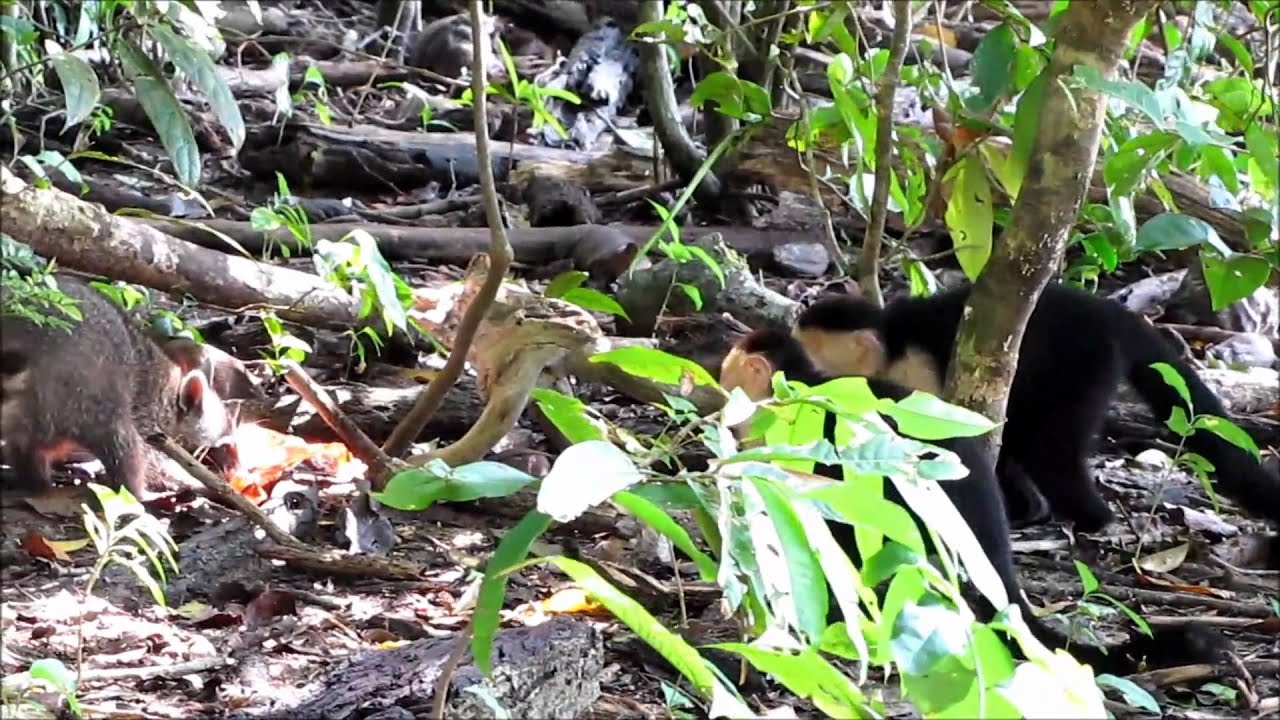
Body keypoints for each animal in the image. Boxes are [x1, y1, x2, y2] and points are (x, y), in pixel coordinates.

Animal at [792, 285, 1280, 539]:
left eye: (806, 365)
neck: (893, 346)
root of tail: (1106, 312)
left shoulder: (919, 377)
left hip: (1081, 364)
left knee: (1051, 451)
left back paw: (1088, 517)